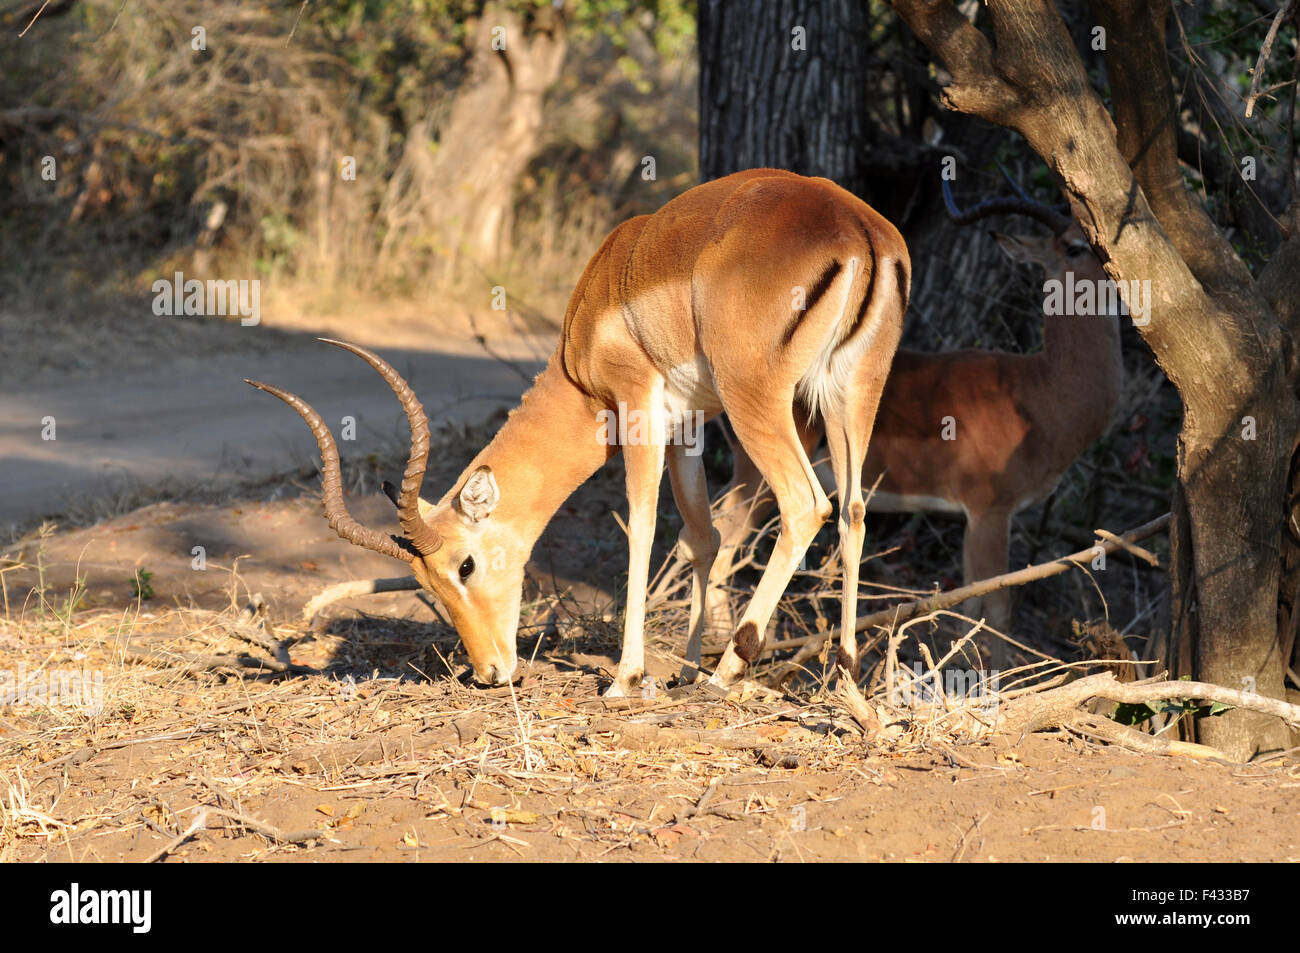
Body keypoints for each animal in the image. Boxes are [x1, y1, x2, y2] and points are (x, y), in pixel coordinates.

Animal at [248, 169, 910, 695]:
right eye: (424, 582)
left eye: (465, 566)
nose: (489, 671)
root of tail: (854, 226)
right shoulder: (687, 425)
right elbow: (702, 535)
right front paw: (683, 668)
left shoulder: (637, 404)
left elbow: (643, 527)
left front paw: (627, 679)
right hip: (853, 391)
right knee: (853, 508)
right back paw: (845, 671)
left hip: (760, 399)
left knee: (806, 504)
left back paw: (731, 669)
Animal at [708, 181, 1121, 666]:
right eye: (1075, 246)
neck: (1037, 395)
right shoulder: (988, 512)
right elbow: (994, 609)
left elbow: (971, 604)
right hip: (759, 473)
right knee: (724, 531)